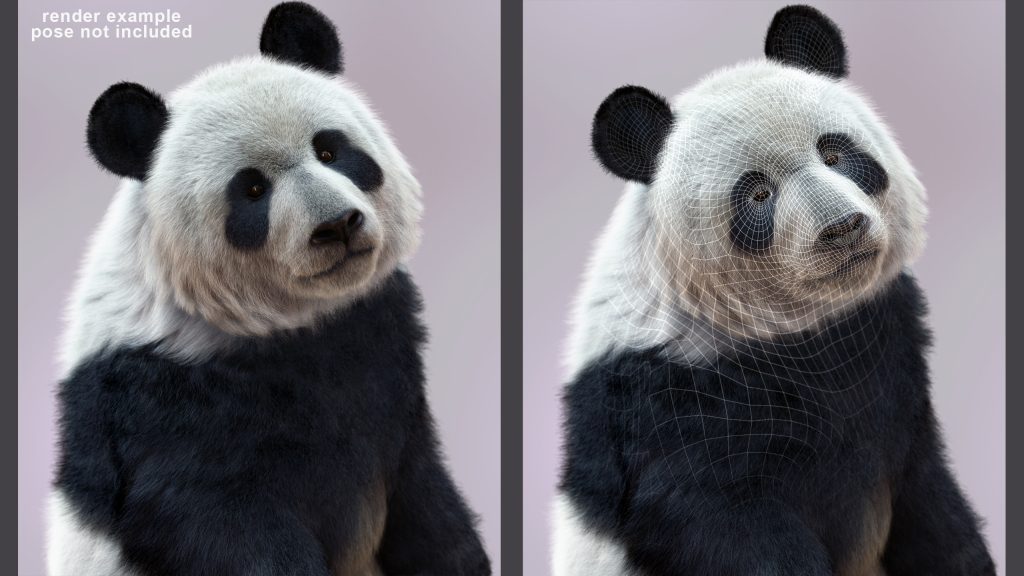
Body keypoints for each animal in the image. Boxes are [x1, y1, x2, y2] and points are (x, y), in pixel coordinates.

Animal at [46, 3, 490, 575]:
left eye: (329, 150)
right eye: (252, 188)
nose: (336, 226)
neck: (290, 326)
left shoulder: (380, 344)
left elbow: (422, 494)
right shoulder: (157, 405)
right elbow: (217, 519)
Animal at [553, 5, 995, 576]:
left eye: (835, 153)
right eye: (758, 193)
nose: (842, 228)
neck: (795, 332)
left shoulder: (888, 349)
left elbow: (930, 503)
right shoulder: (663, 405)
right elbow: (722, 523)